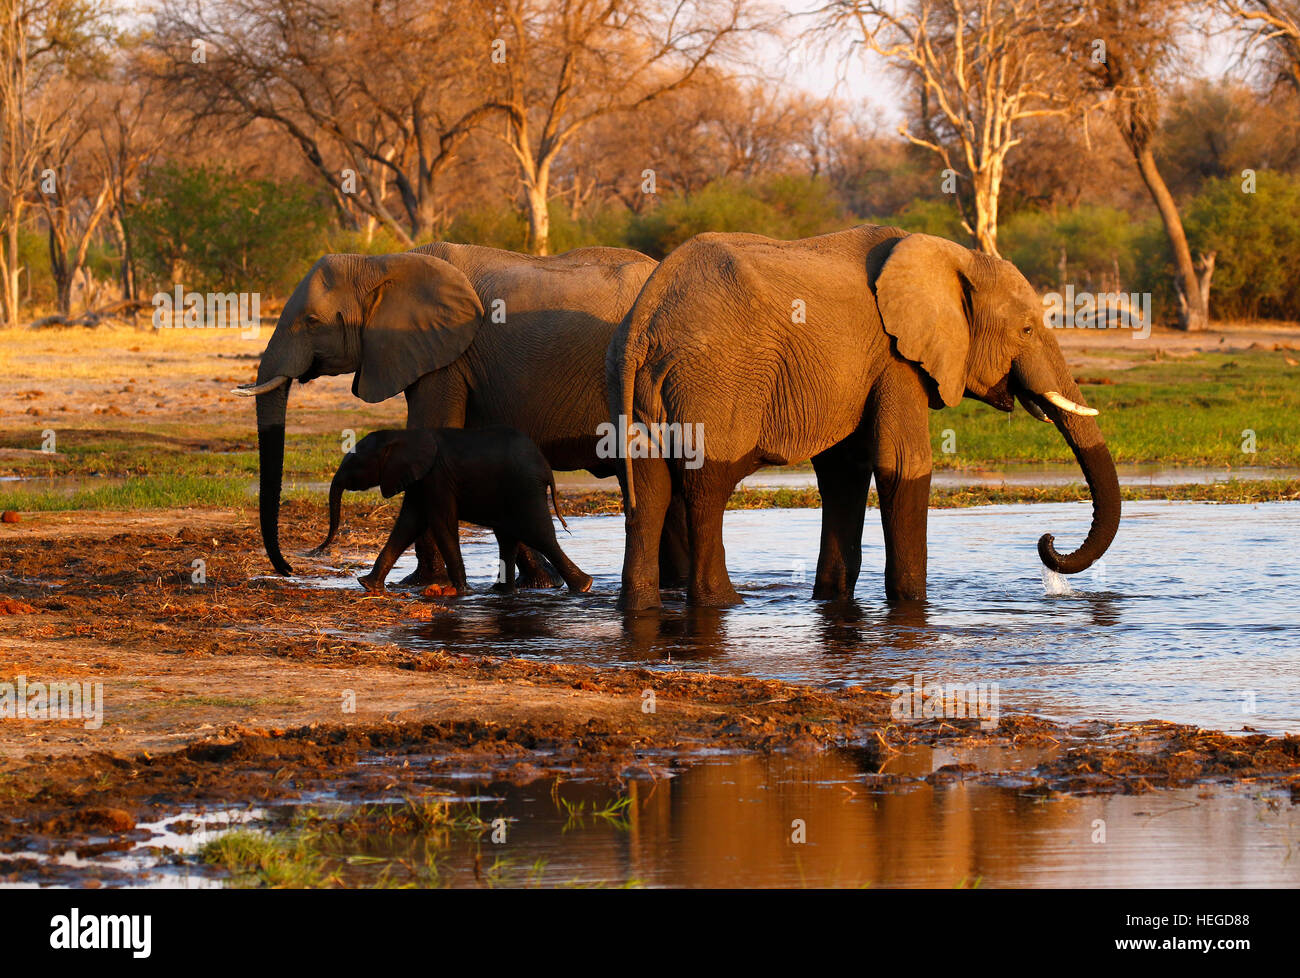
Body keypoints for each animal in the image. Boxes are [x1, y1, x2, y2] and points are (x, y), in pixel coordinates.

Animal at [314, 427, 592, 595]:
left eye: (354, 460)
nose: (317, 549)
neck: (403, 436)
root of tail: (546, 468)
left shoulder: (437, 476)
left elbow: (440, 524)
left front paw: (460, 592)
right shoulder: (420, 479)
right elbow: (408, 524)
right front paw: (368, 585)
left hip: (525, 489)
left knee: (539, 535)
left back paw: (583, 587)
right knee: (508, 538)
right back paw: (500, 592)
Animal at [605, 225, 1121, 610]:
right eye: (1027, 329)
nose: (1048, 539)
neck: (953, 256)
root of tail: (643, 321)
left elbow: (844, 472)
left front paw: (832, 600)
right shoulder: (895, 358)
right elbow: (904, 465)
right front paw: (912, 605)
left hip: (643, 387)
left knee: (647, 491)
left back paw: (640, 606)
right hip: (718, 379)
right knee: (706, 486)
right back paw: (724, 602)